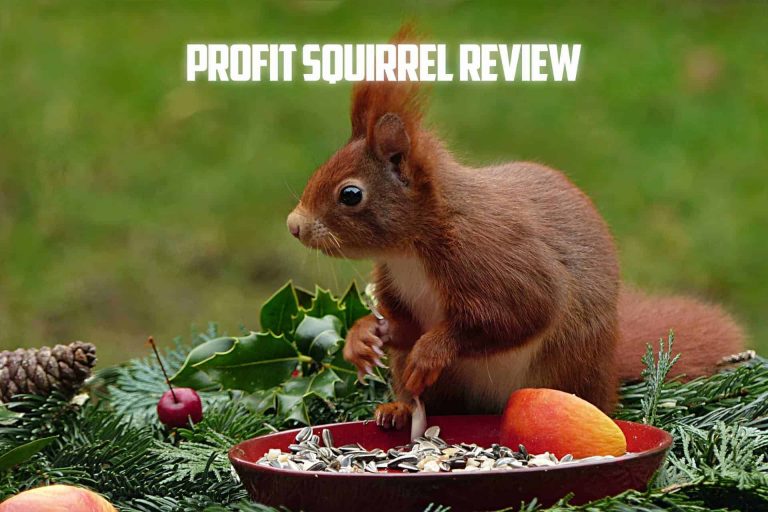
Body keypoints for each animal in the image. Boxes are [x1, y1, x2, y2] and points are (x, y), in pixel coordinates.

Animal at [286, 37, 744, 429]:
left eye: (350, 194)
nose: (294, 225)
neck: (412, 250)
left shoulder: (492, 255)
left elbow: (522, 313)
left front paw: (431, 351)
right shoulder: (396, 280)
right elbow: (402, 326)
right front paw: (362, 336)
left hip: (569, 367)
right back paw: (398, 410)